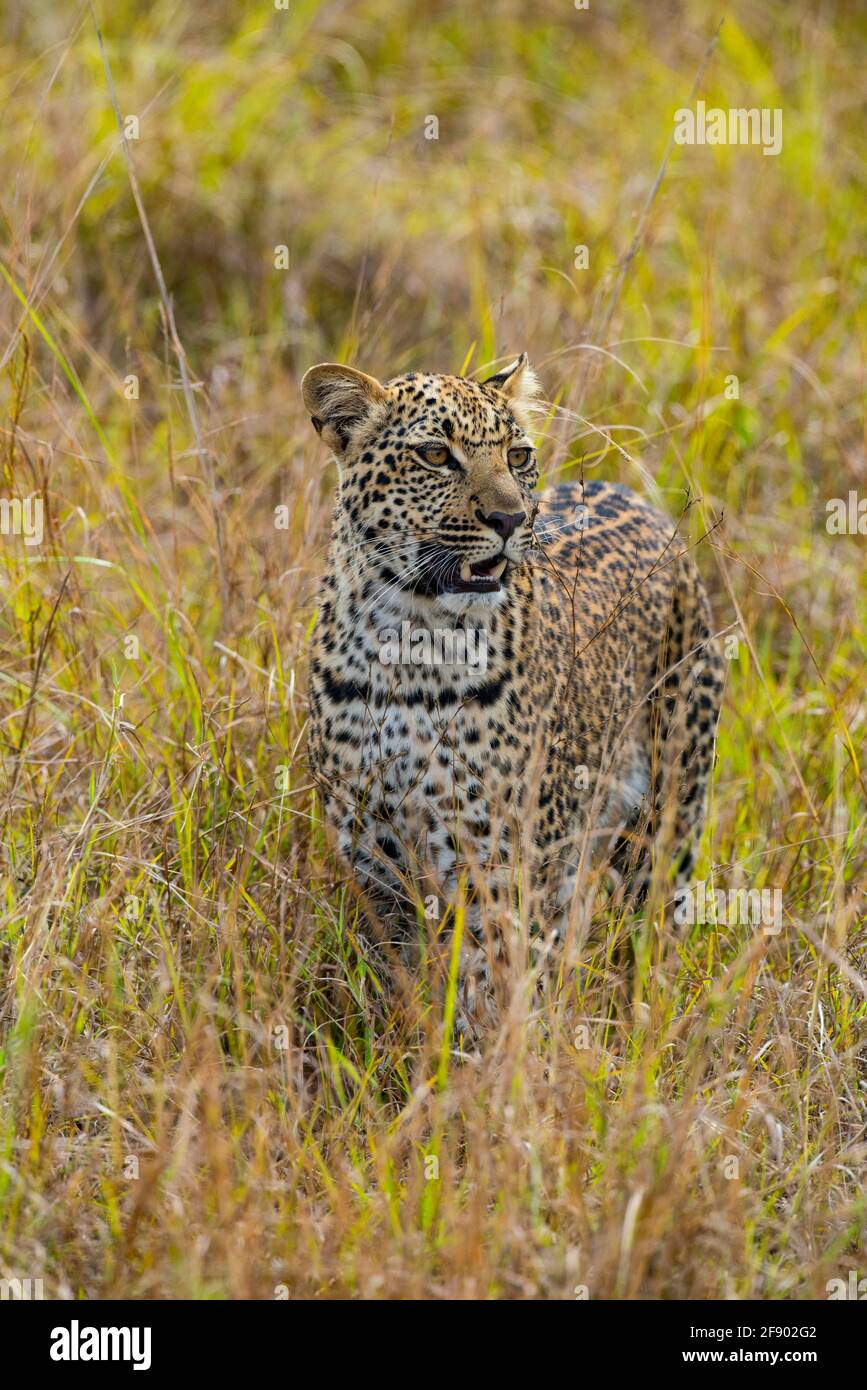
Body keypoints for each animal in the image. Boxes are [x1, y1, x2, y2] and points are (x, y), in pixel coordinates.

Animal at [302, 354, 723, 1038]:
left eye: (518, 455)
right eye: (435, 455)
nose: (509, 520)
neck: (410, 644)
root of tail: (631, 493)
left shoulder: (498, 862)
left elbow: (489, 984)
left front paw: (489, 1061)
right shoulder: (374, 858)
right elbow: (397, 979)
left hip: (671, 805)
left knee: (653, 922)